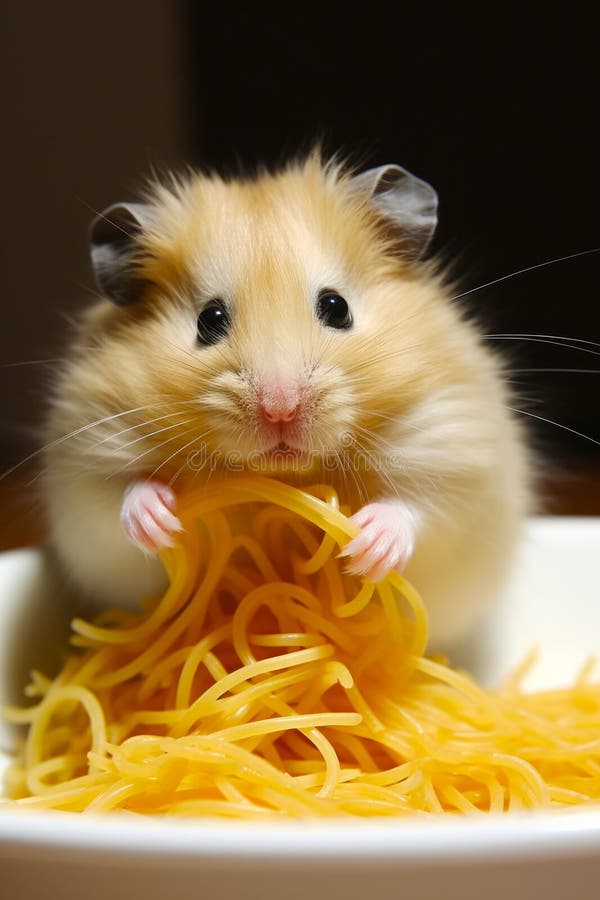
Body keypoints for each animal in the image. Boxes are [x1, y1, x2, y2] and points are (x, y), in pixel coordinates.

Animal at [42, 153, 531, 646]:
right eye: (208, 320)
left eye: (337, 307)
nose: (280, 409)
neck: (288, 473)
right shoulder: (83, 469)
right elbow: (117, 499)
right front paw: (158, 518)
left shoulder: (456, 457)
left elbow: (418, 507)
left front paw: (365, 543)